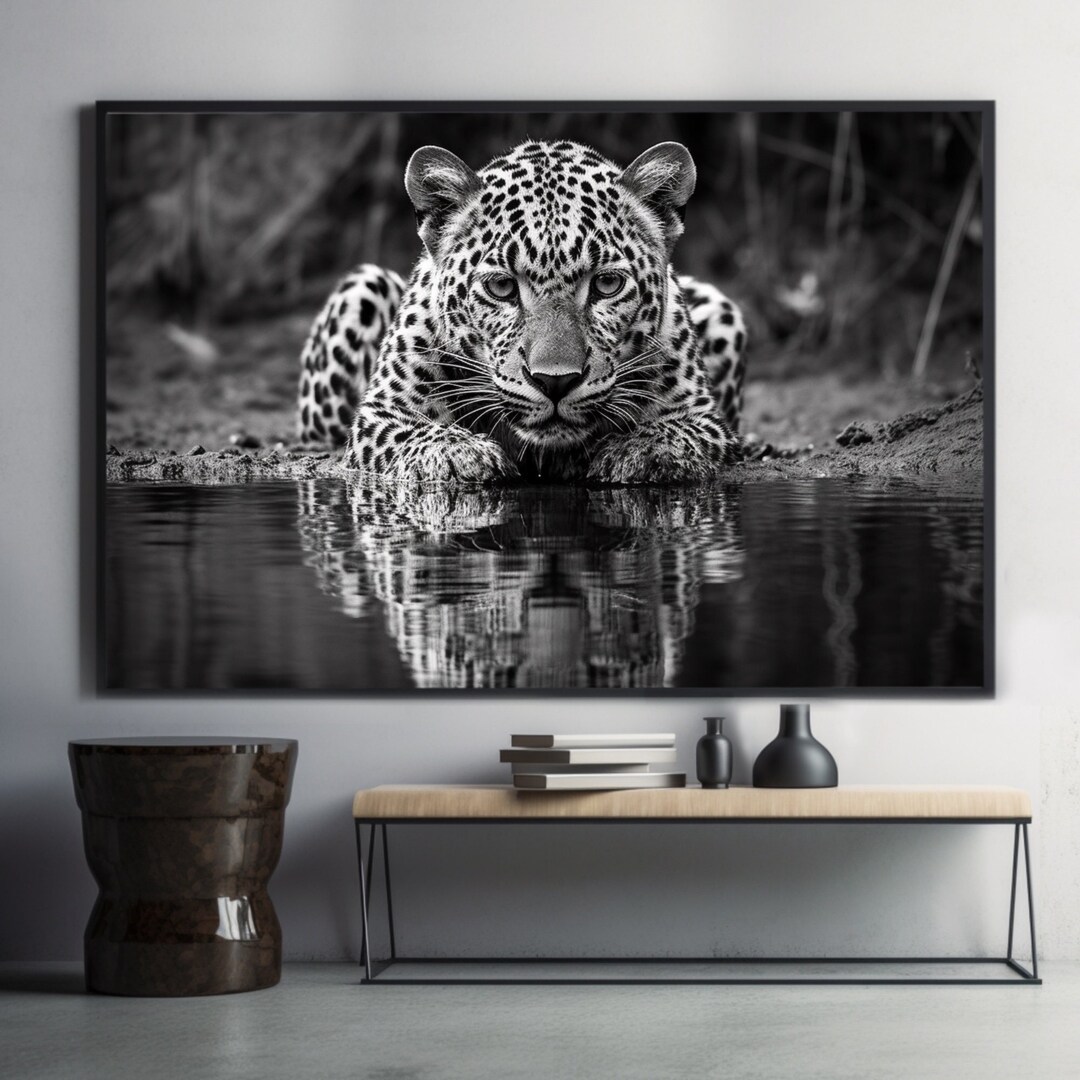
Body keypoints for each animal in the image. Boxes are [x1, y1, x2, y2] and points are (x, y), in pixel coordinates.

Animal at [298, 138, 748, 485]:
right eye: (501, 287)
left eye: (607, 284)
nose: (555, 382)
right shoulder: (382, 414)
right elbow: (414, 435)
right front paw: (458, 454)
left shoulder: (703, 417)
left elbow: (676, 433)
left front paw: (642, 449)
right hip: (363, 288)